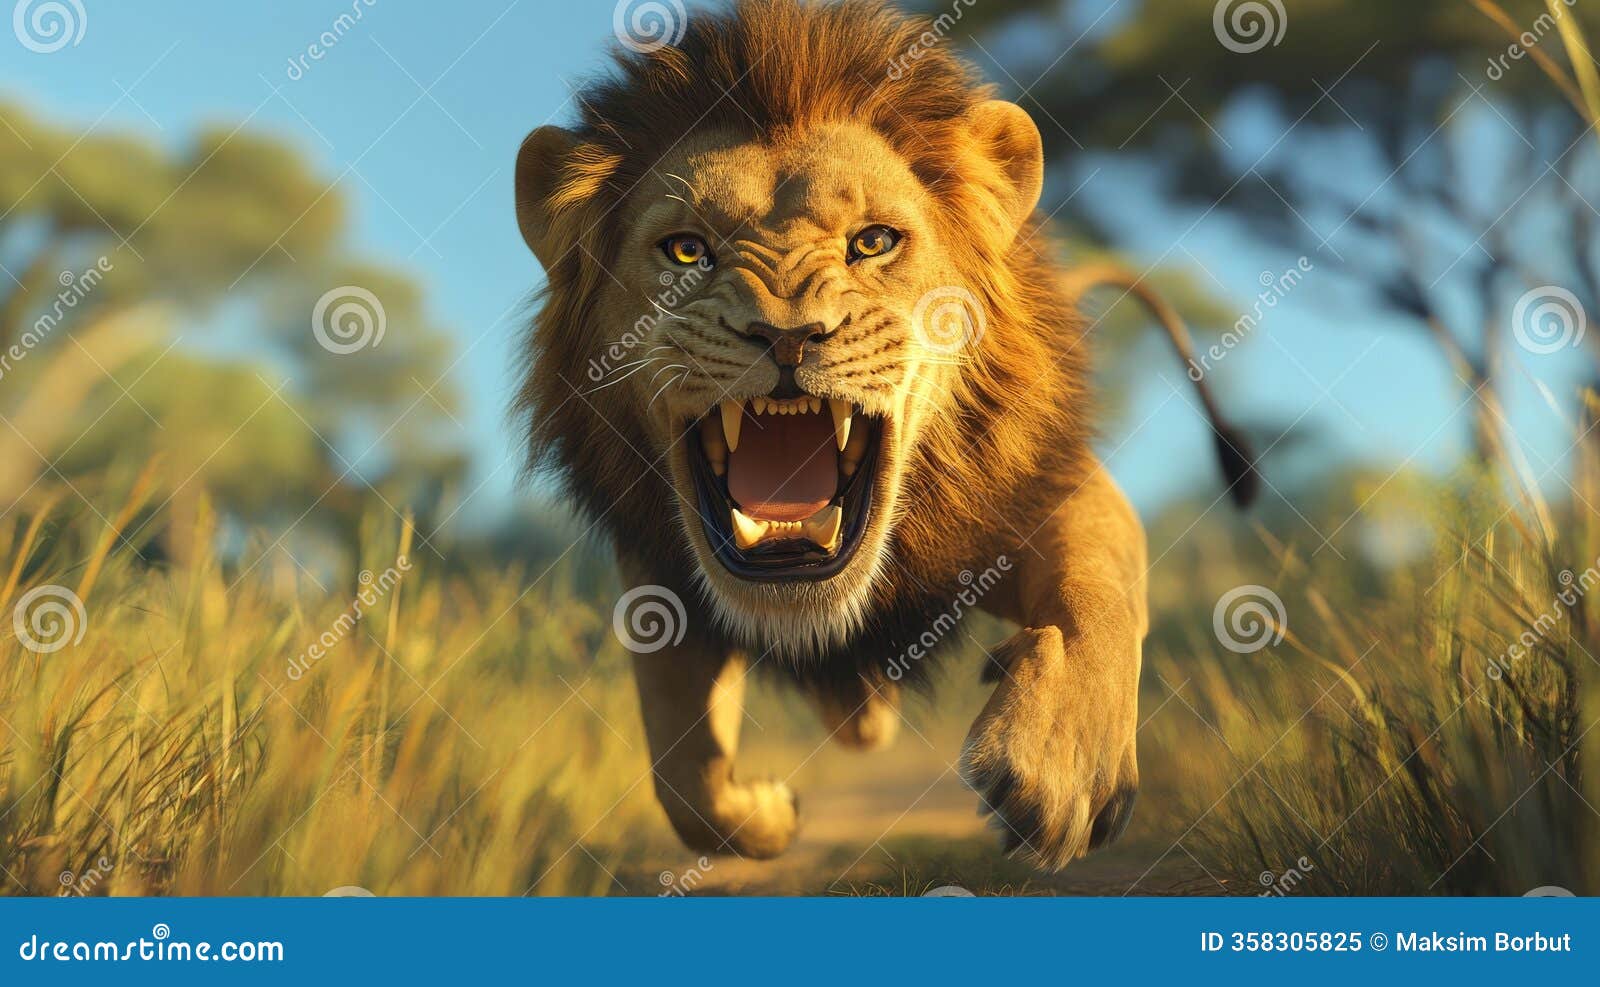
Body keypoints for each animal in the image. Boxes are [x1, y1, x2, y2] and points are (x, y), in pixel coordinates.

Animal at [512, 0, 1253, 869]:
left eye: (872, 241)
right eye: (687, 250)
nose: (787, 336)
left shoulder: (1046, 491)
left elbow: (1099, 594)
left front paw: (1055, 771)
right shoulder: (658, 569)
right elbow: (680, 767)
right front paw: (765, 812)